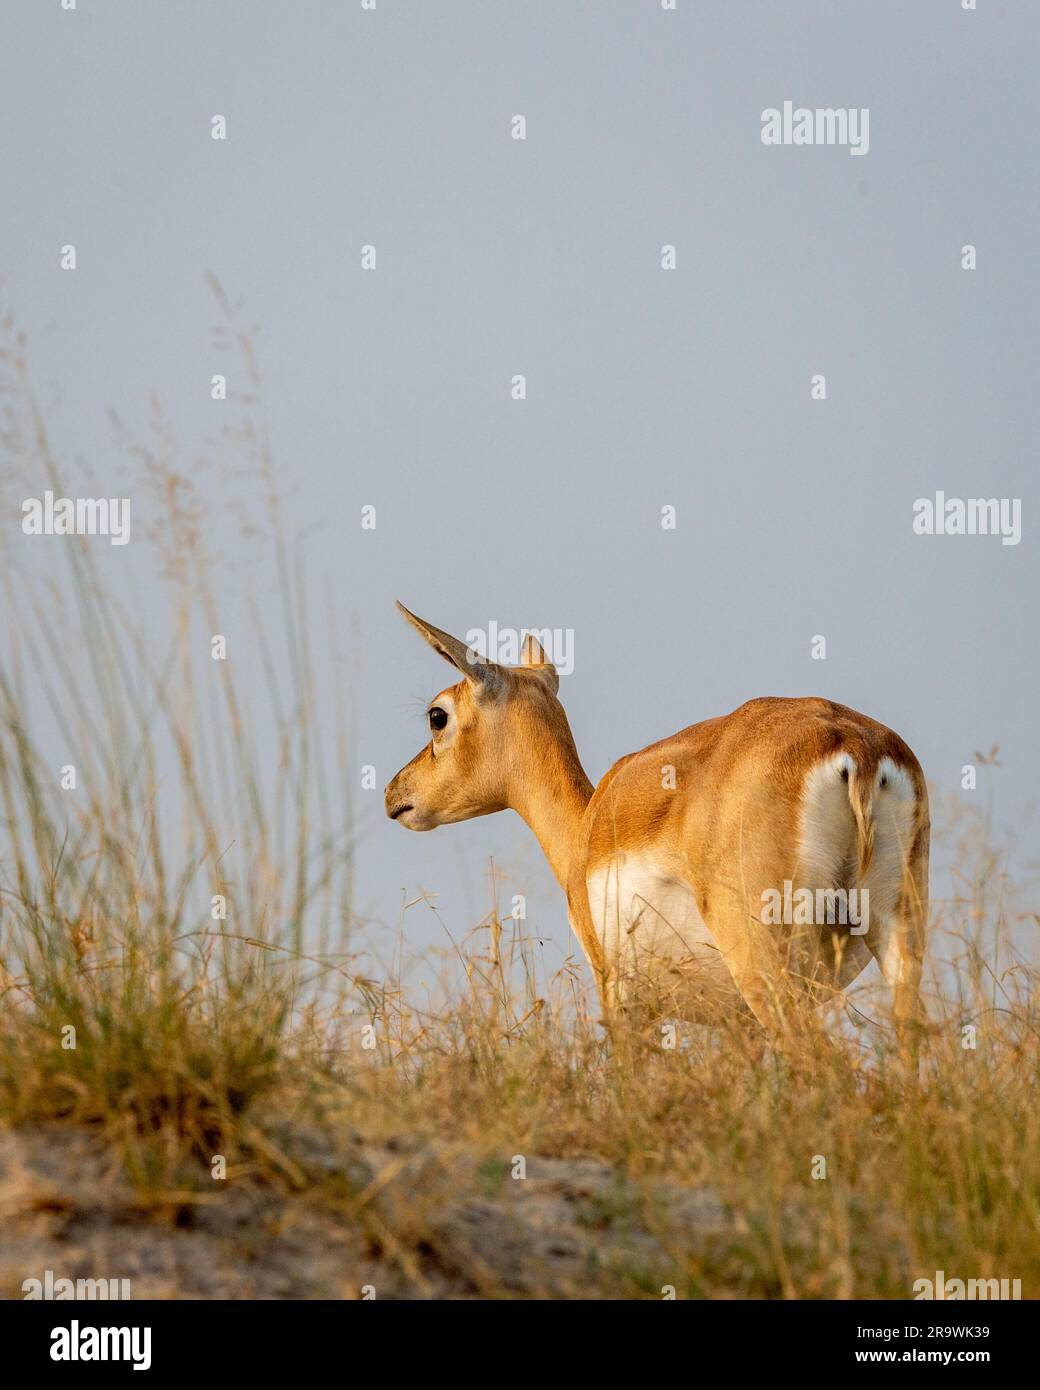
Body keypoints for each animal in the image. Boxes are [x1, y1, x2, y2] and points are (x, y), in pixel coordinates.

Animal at [385, 604, 929, 1051]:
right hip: (896, 935)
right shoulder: (738, 1025)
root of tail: (852, 744)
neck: (588, 825)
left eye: (437, 715)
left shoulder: (617, 993)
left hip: (767, 965)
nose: (395, 794)